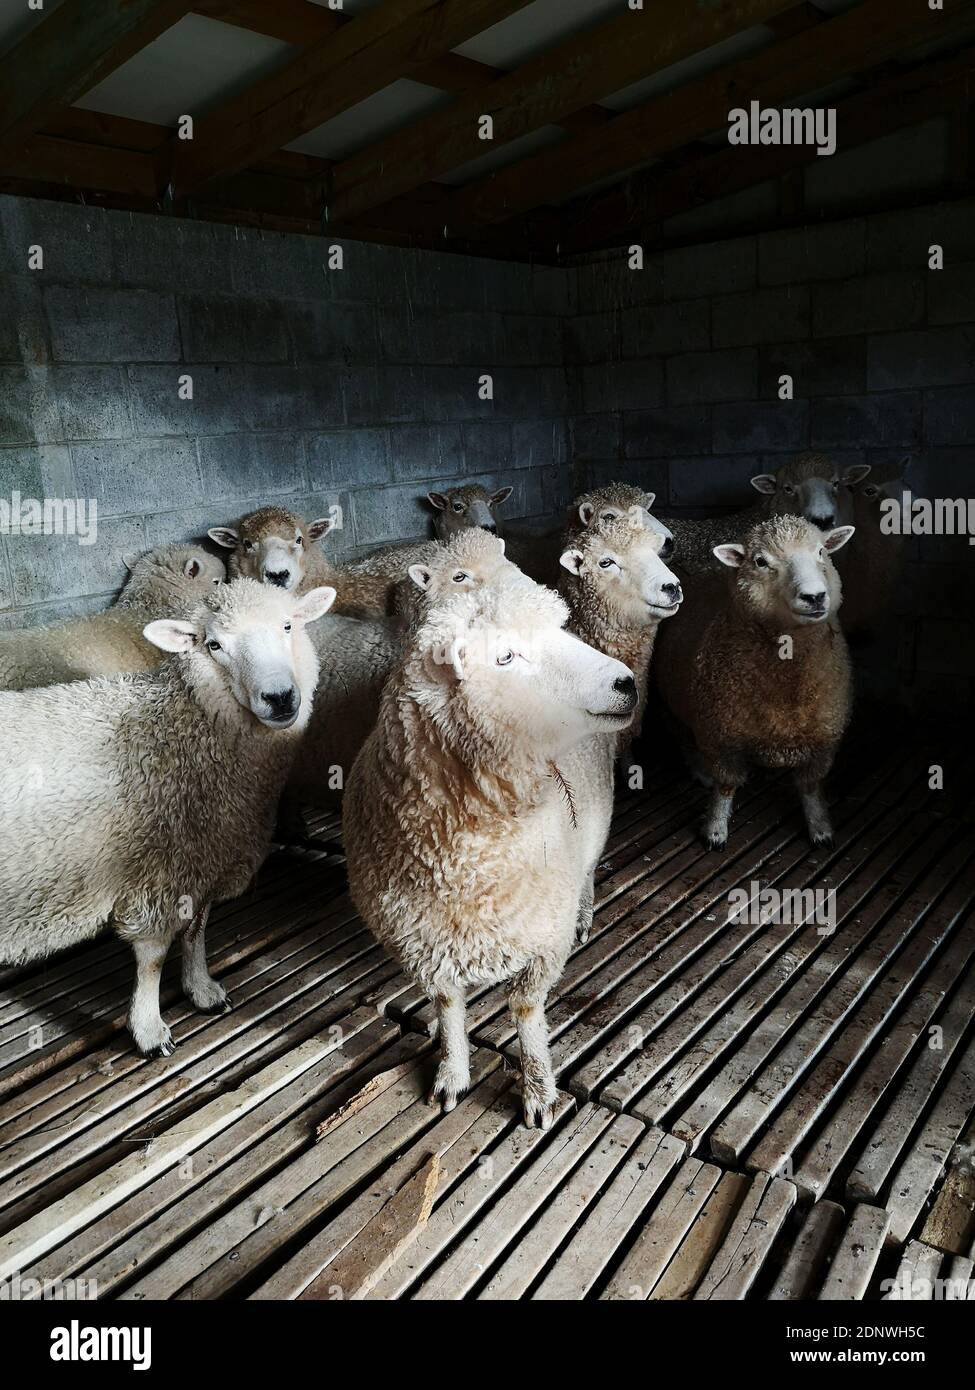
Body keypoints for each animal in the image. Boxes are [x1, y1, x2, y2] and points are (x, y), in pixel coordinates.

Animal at [0, 578, 334, 1057]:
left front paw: (202, 989)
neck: (183, 725)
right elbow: (153, 959)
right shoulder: (156, 872)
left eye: (288, 625)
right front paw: (149, 1030)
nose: (279, 697)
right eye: (214, 645)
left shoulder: (205, 855)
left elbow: (197, 929)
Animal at [344, 575, 637, 1127]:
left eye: (559, 630)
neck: (465, 864)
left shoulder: (542, 940)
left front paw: (539, 1090)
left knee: (587, 870)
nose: (626, 683)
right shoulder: (420, 942)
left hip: (596, 820)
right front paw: (452, 1072)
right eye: (505, 657)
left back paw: (586, 912)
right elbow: (447, 1009)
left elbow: (526, 1013)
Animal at [654, 514, 855, 850]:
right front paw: (715, 830)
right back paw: (699, 771)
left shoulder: (824, 740)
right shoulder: (720, 738)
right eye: (761, 561)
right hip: (670, 700)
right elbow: (725, 787)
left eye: (821, 552)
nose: (814, 596)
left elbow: (811, 787)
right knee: (681, 735)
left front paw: (820, 828)